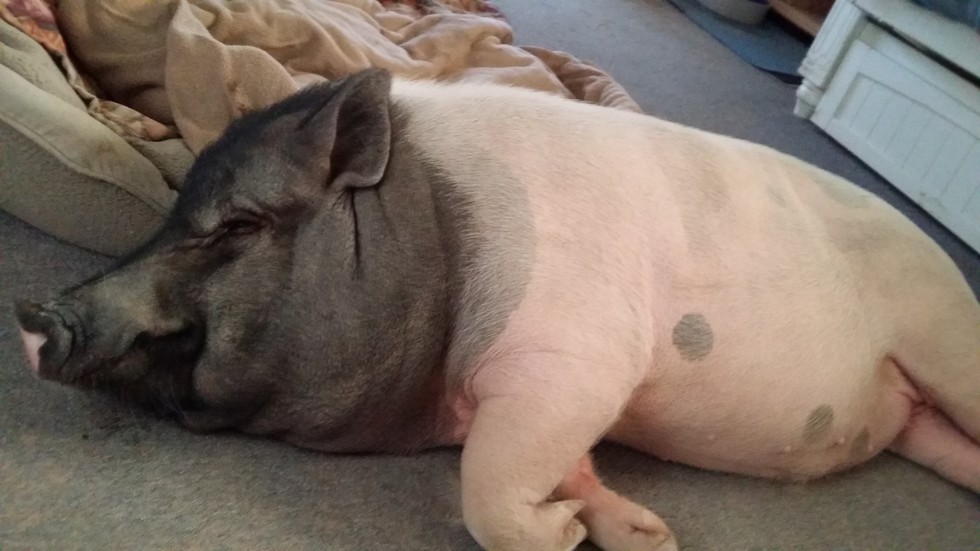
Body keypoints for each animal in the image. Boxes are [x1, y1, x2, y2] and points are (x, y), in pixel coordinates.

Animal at [15, 68, 980, 551]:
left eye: (240, 224)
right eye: (174, 208)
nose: (29, 314)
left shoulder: (578, 360)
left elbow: (490, 481)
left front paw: (571, 532)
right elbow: (558, 464)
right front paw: (647, 534)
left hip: (948, 343)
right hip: (919, 423)